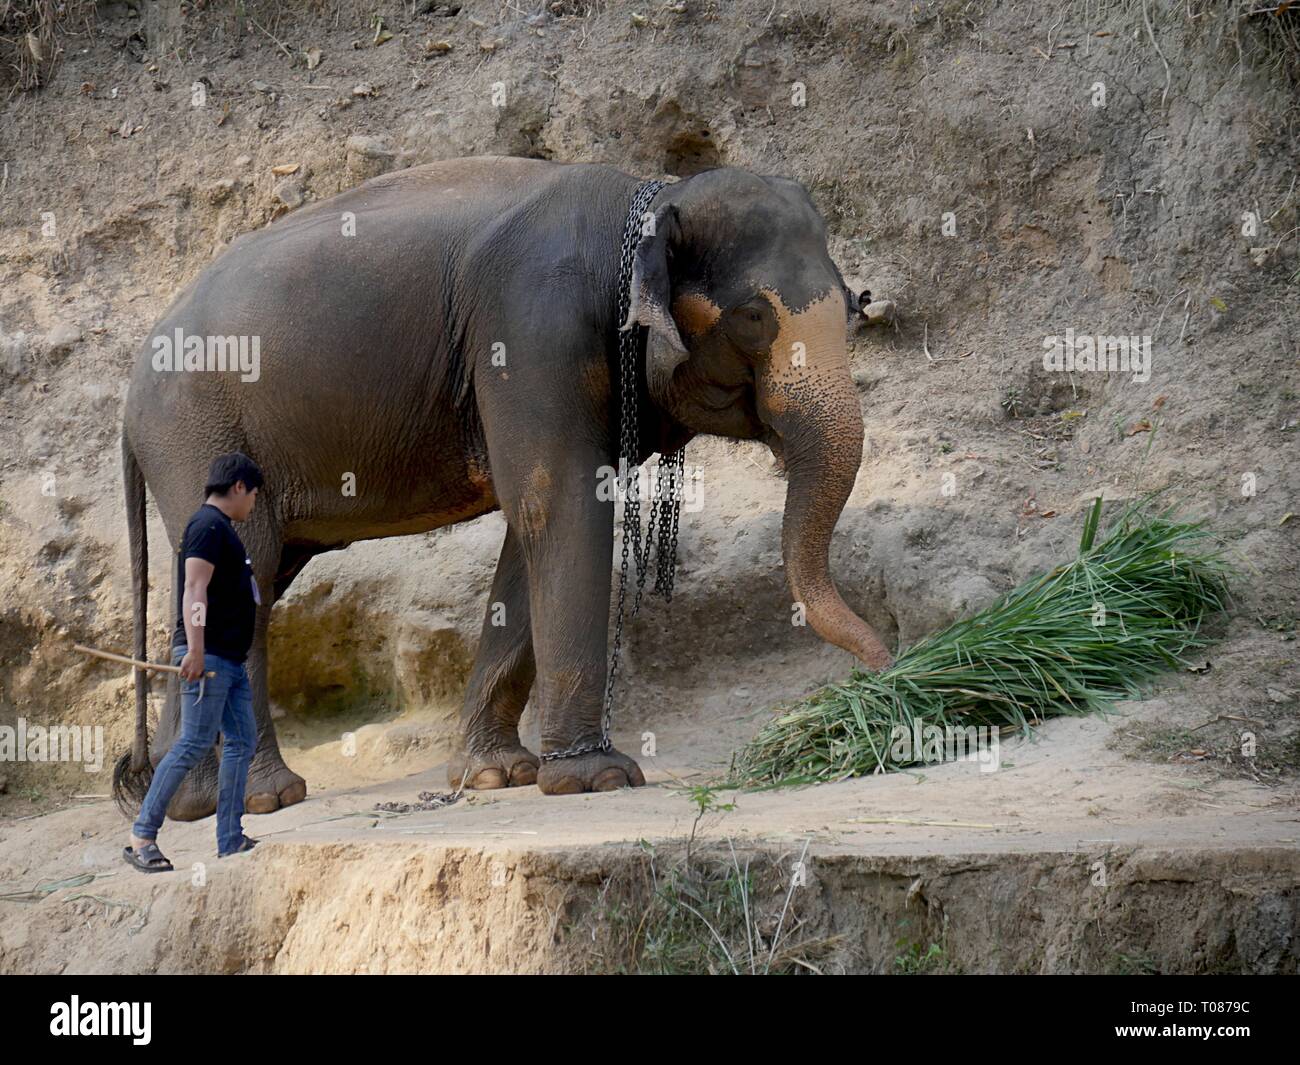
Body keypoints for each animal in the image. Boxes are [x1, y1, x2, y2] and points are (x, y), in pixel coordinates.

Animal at [115, 155, 893, 817]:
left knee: (230, 578)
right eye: (755, 318)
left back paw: (186, 804)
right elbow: (559, 500)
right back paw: (263, 799)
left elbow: (534, 523)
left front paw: (496, 776)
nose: (887, 666)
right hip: (196, 431)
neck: (650, 195)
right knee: (244, 565)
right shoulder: (531, 327)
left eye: (855, 306)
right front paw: (596, 779)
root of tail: (129, 392)